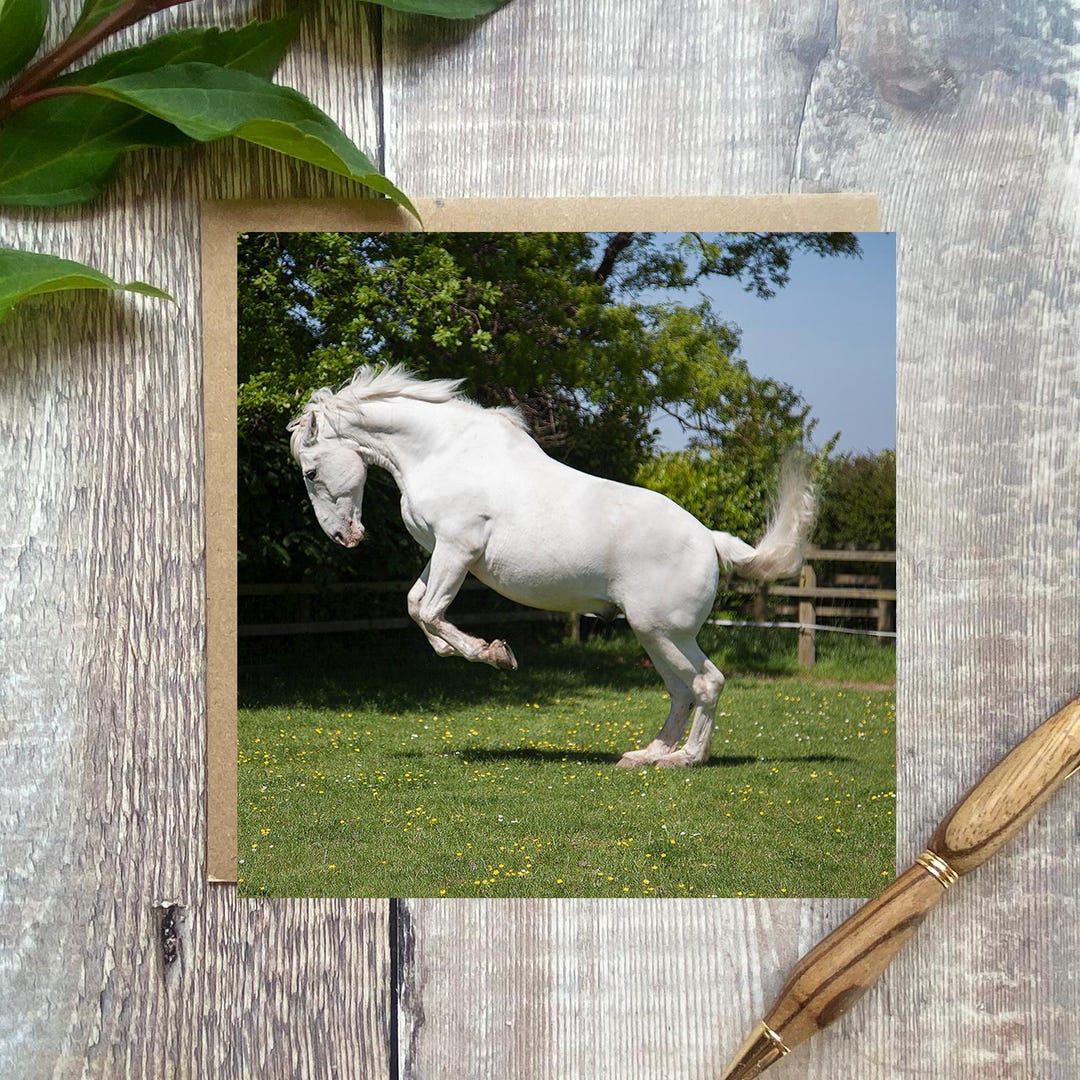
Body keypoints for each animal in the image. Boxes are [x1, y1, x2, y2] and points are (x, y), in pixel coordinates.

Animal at [287, 365, 816, 768]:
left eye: (311, 472)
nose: (344, 538)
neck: (441, 452)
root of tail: (709, 539)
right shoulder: (440, 552)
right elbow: (417, 606)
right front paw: (459, 650)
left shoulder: (456, 549)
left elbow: (430, 611)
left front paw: (496, 654)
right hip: (654, 633)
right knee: (680, 691)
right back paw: (645, 755)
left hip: (666, 631)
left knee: (706, 683)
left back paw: (684, 759)